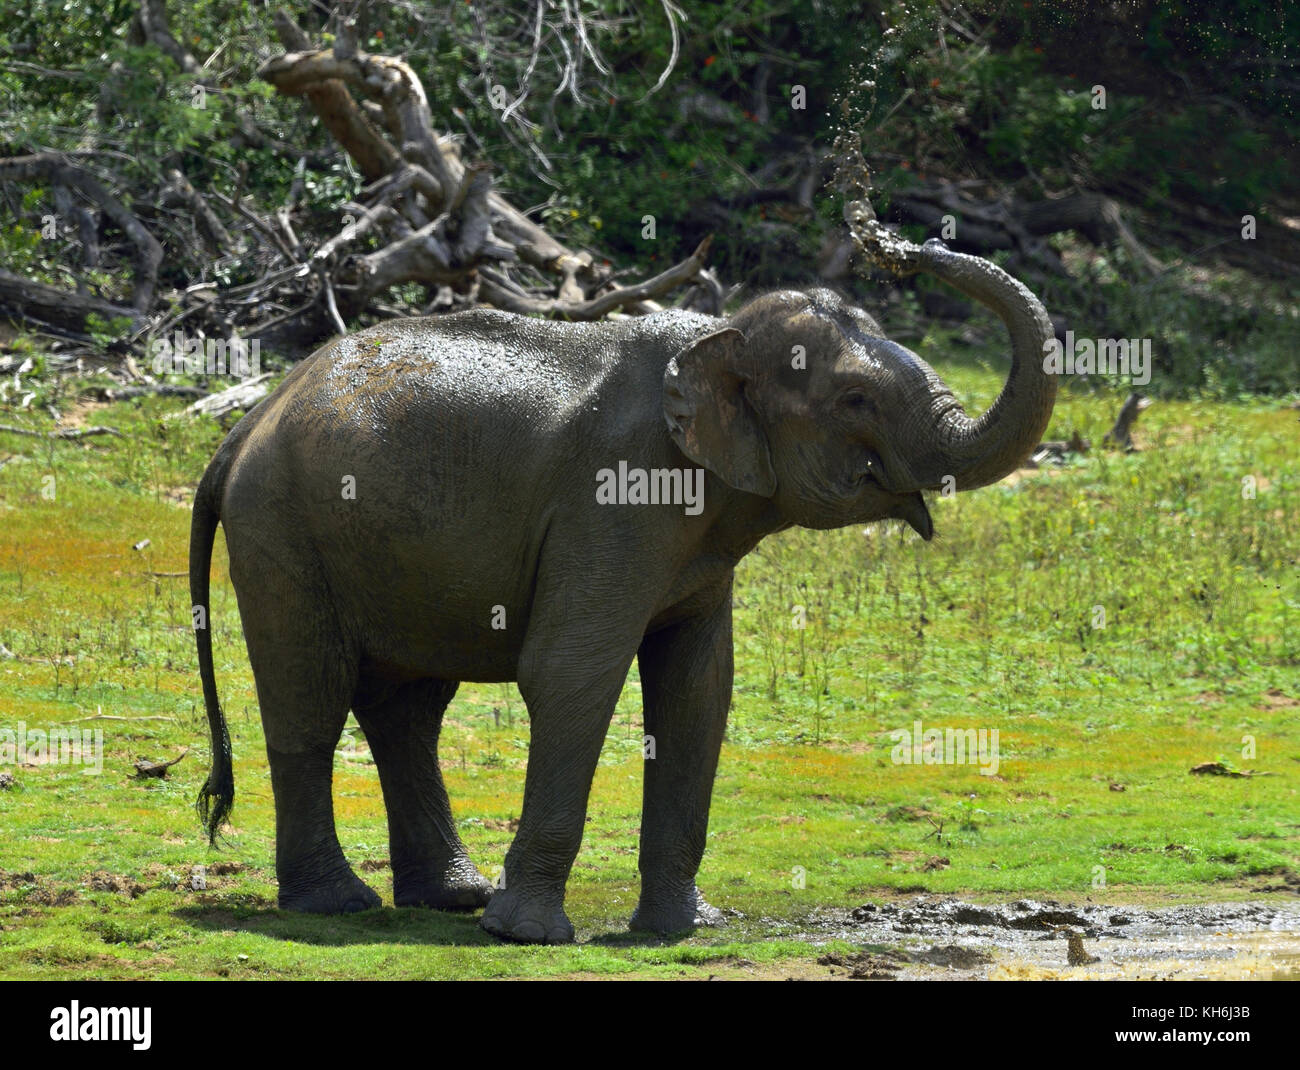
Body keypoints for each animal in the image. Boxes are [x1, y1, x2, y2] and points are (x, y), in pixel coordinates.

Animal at [190, 236, 1056, 944]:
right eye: (854, 400)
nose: (897, 244)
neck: (717, 336)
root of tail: (246, 423)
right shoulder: (614, 495)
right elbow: (572, 671)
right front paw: (529, 937)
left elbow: (699, 687)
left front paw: (682, 928)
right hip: (283, 529)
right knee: (311, 699)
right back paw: (340, 906)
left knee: (408, 708)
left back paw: (452, 897)